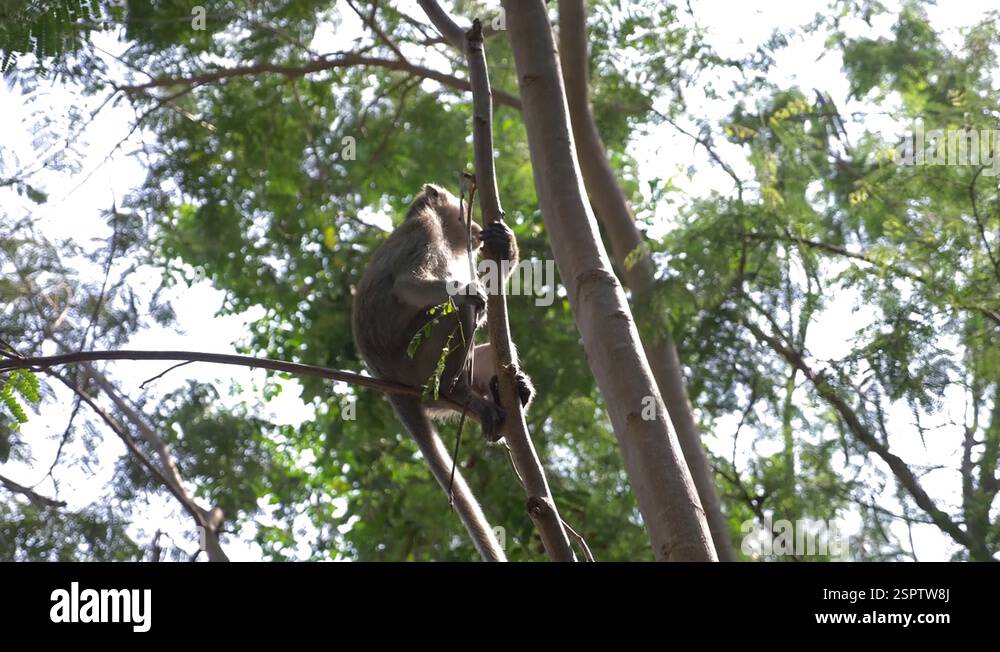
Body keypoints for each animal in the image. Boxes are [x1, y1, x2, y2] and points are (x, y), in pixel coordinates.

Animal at [352, 183, 533, 560]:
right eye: (463, 210)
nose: (476, 227)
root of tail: (386, 380)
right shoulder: (424, 232)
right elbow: (408, 284)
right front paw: (471, 291)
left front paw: (506, 247)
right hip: (419, 366)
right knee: (459, 310)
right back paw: (458, 390)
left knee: (489, 349)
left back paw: (503, 399)